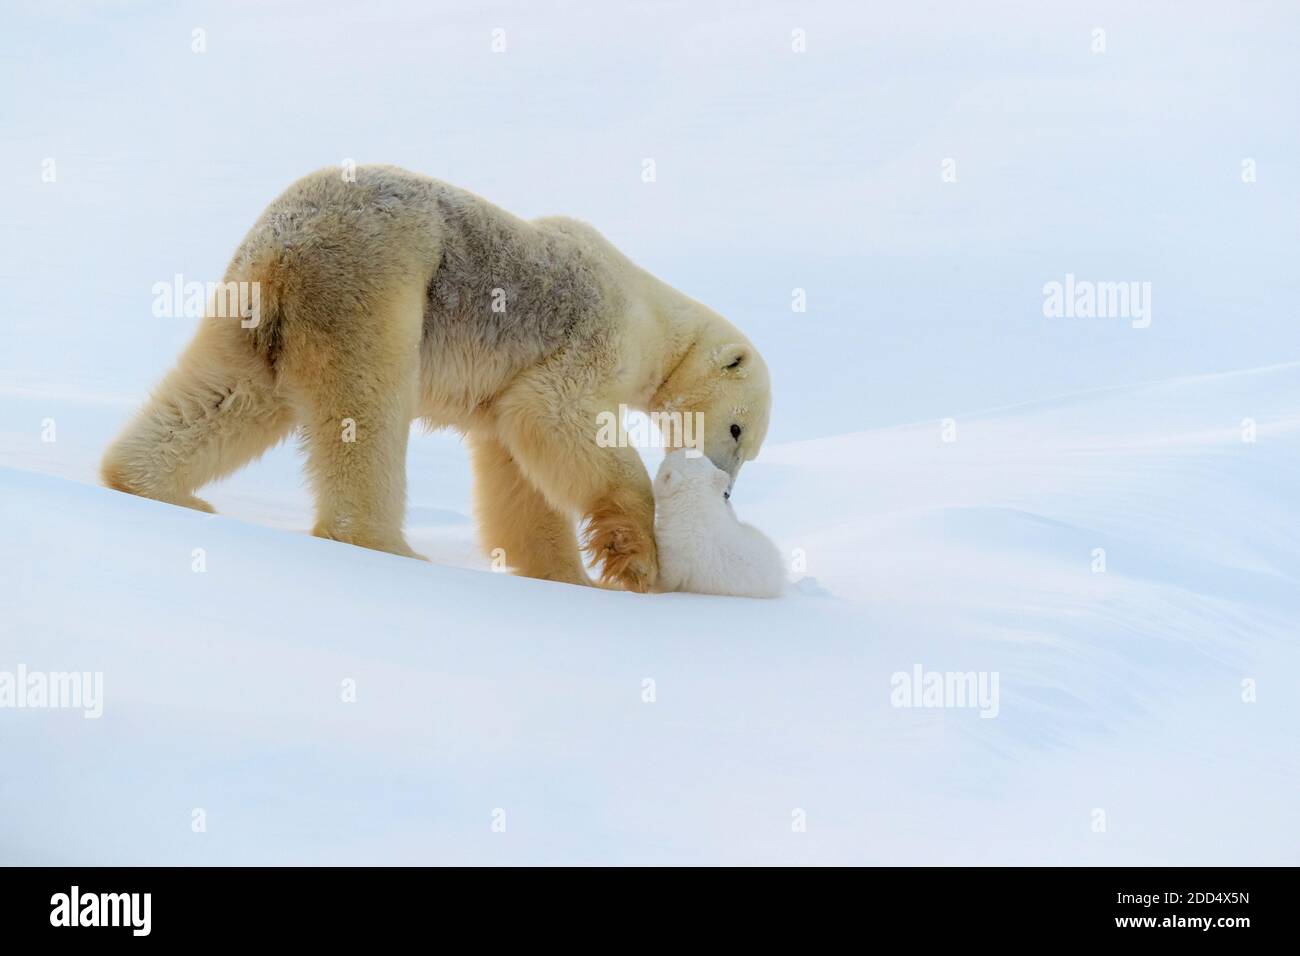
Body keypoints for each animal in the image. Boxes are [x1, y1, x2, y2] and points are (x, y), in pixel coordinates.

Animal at [101, 165, 772, 592]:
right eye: (738, 431)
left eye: (748, 445)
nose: (726, 490)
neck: (650, 317)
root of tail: (286, 249)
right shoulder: (590, 338)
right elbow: (552, 416)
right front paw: (635, 559)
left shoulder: (507, 391)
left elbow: (515, 466)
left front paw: (563, 574)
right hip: (375, 286)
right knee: (366, 413)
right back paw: (384, 544)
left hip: (252, 307)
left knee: (226, 395)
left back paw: (152, 484)